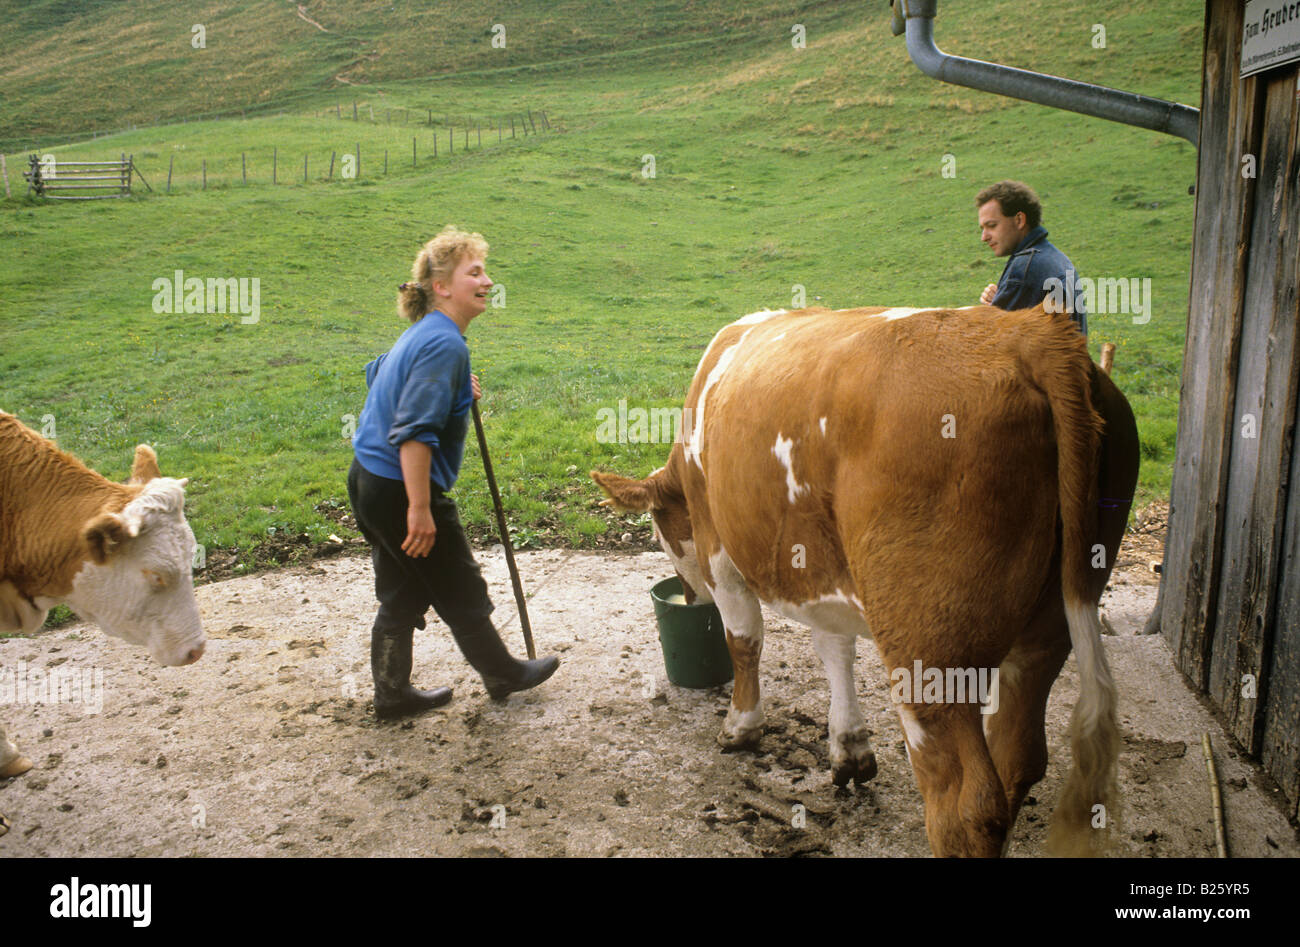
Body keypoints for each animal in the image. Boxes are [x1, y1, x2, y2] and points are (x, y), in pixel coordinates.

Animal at [593, 304, 1139, 857]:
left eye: (659, 528)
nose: (687, 597)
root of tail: (1030, 334)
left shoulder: (717, 550)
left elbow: (744, 641)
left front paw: (741, 727)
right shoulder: (816, 567)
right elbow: (835, 649)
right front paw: (849, 746)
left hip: (930, 651)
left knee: (964, 804)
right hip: (1048, 629)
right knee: (1019, 758)